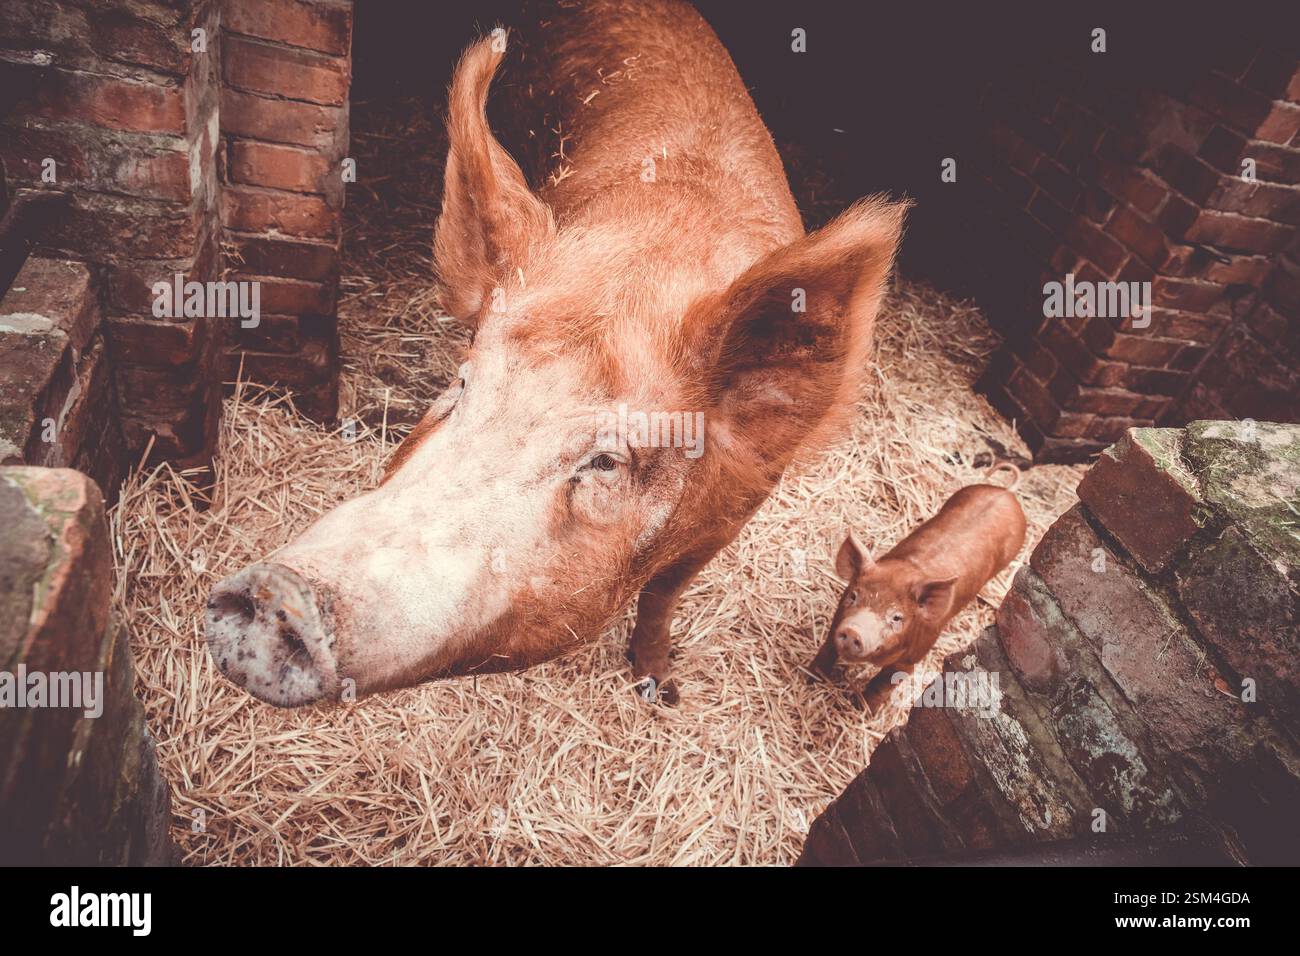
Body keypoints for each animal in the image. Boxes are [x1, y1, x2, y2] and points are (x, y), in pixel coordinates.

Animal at [205, 0, 907, 708]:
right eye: (462, 385)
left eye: (607, 461)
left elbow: (664, 592)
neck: (657, 256)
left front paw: (660, 689)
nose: (277, 591)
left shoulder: (746, 499)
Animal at [810, 483, 1026, 707]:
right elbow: (827, 650)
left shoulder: (913, 657)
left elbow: (882, 685)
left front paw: (862, 709)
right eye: (853, 596)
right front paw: (811, 679)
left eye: (897, 617)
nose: (854, 631)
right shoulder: (837, 621)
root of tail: (1007, 492)